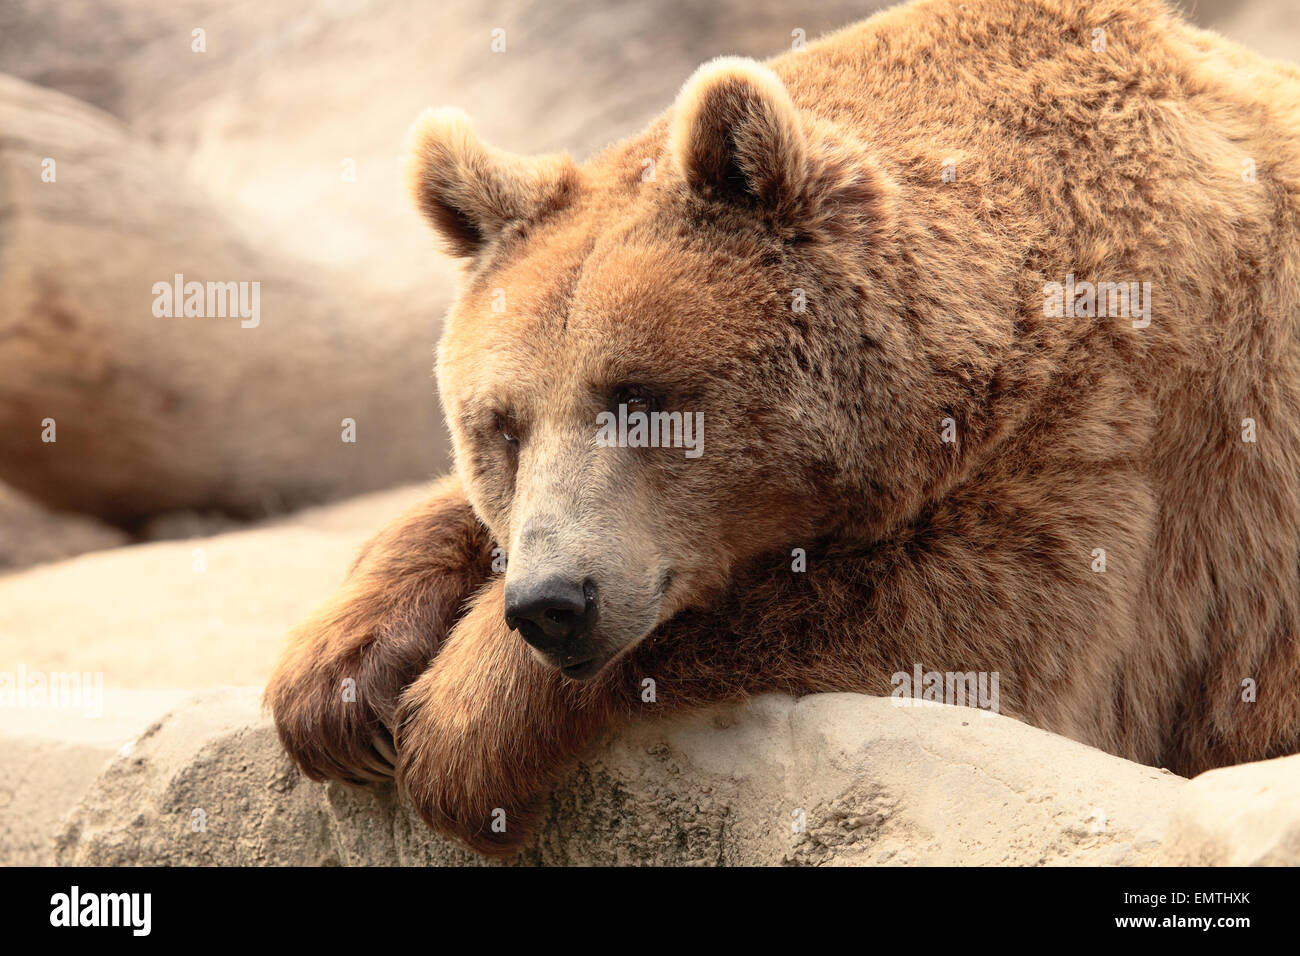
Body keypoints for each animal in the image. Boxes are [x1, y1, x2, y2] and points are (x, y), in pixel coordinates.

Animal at [266, 0, 1300, 855]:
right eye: (502, 426)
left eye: (639, 396)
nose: (552, 602)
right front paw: (336, 677)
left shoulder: (1125, 458)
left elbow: (954, 621)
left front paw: (456, 724)